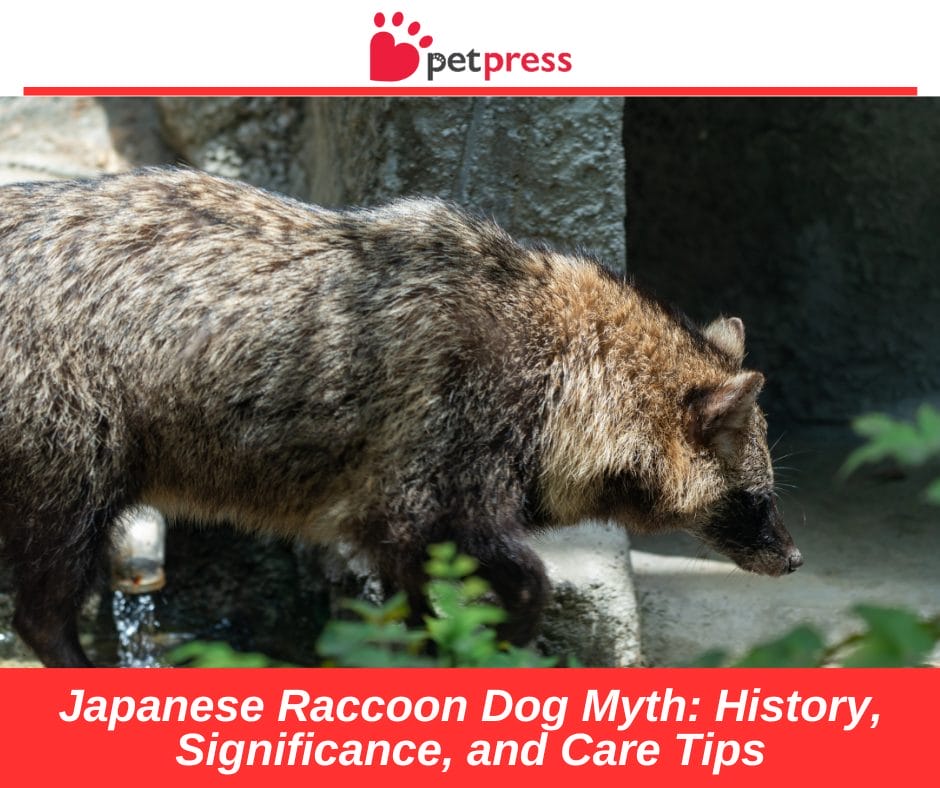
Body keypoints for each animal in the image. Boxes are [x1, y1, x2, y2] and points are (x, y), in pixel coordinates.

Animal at [0, 168, 801, 667]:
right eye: (757, 499)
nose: (794, 559)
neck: (568, 365)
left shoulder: (390, 509)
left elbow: (415, 591)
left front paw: (437, 648)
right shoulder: (438, 456)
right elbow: (521, 577)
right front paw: (507, 636)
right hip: (68, 456)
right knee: (40, 607)